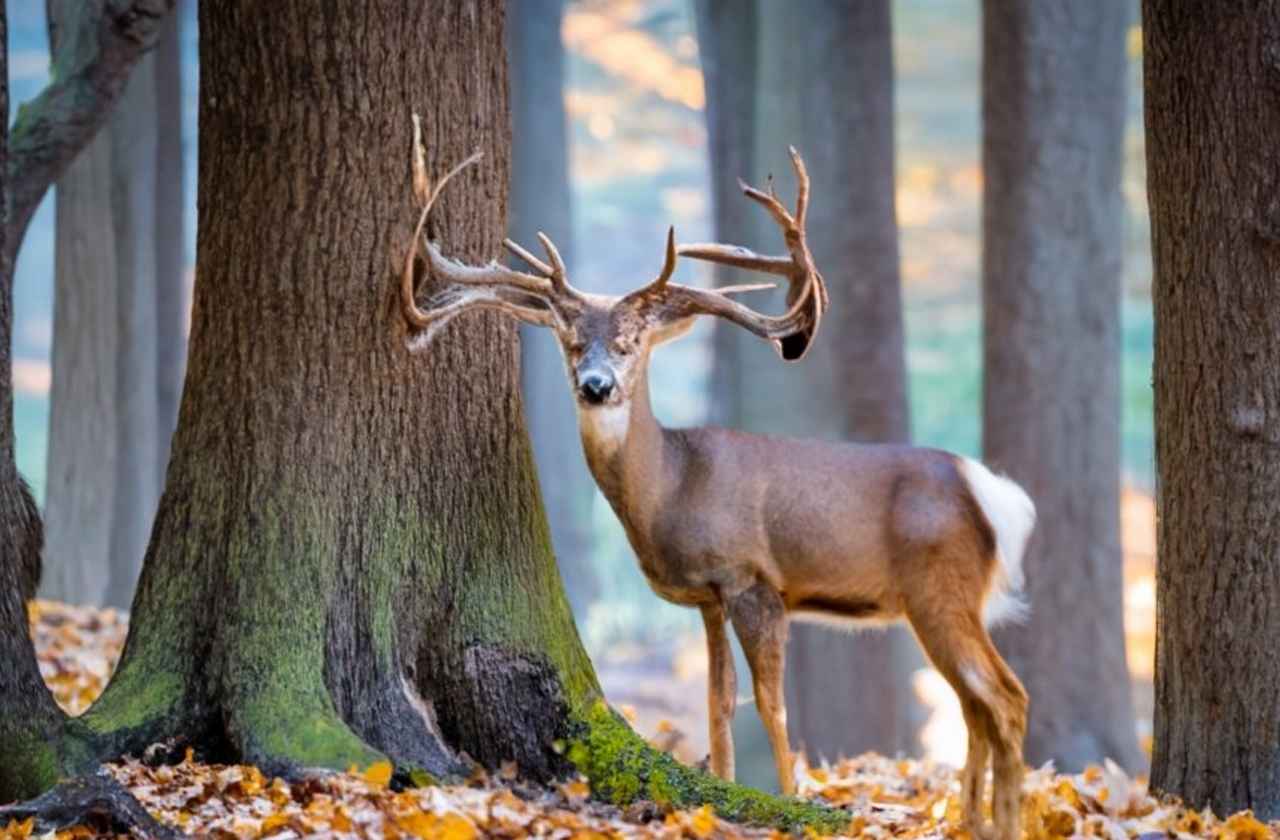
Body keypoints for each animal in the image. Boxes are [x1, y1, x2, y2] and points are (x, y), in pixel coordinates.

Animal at [400, 133, 1033, 840]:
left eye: (630, 342)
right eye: (570, 341)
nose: (596, 386)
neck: (673, 486)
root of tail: (996, 495)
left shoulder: (752, 579)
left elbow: (772, 705)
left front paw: (793, 801)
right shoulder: (707, 595)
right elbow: (718, 703)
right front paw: (723, 796)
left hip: (941, 588)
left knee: (1007, 698)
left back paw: (1009, 821)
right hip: (942, 599)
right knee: (978, 707)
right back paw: (975, 823)